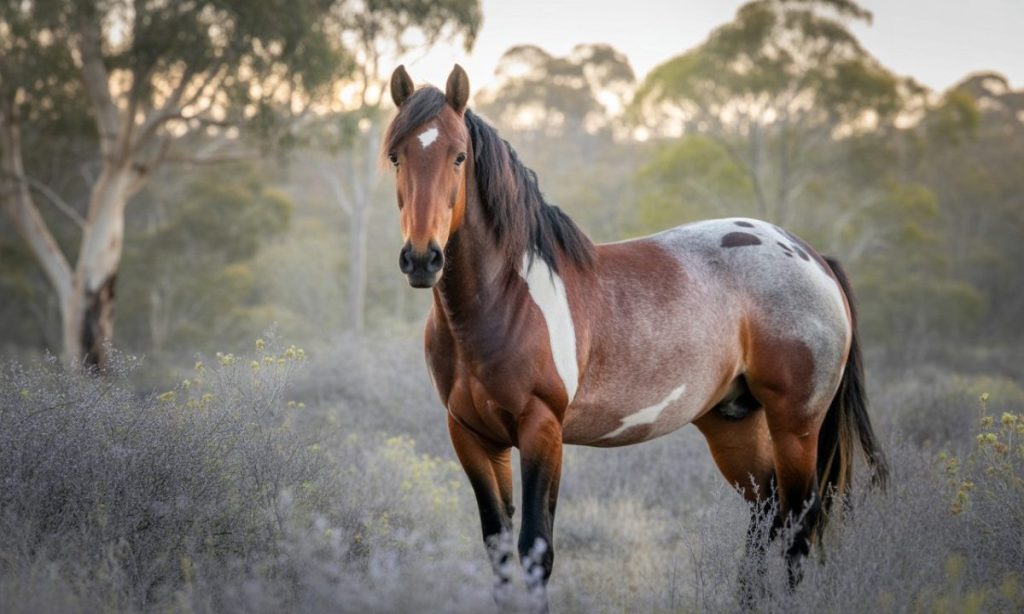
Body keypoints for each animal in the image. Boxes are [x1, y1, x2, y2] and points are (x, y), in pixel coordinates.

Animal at [382, 64, 888, 607]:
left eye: (458, 156)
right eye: (396, 156)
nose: (422, 258)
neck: (504, 301)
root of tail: (813, 257)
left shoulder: (542, 431)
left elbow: (536, 549)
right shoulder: (471, 436)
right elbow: (498, 549)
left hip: (796, 424)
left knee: (798, 525)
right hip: (734, 423)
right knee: (766, 509)